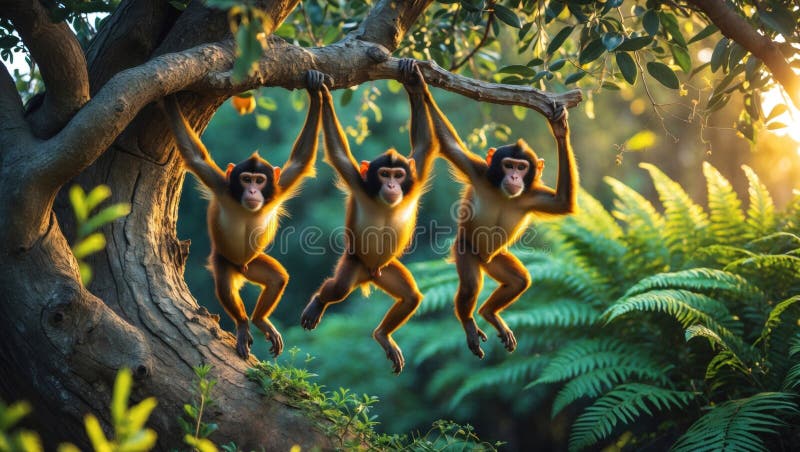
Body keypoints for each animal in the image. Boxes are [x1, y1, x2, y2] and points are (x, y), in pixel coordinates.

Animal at [162, 70, 326, 359]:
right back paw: (242, 324)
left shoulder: (277, 188)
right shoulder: (221, 186)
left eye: (260, 180)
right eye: (246, 179)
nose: (252, 190)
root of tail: (241, 269)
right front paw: (169, 98)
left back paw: (260, 320)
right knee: (225, 286)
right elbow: (195, 156)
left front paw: (315, 92)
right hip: (225, 261)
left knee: (277, 278)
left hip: (253, 262)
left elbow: (301, 160)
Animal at [299, 61, 437, 374]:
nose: (392, 186)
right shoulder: (357, 182)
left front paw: (415, 83)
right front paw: (320, 93)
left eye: (397, 174)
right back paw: (318, 303)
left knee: (411, 296)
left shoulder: (414, 178)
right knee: (338, 287)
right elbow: (338, 153)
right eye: (384, 174)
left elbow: (425, 145)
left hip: (386, 269)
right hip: (354, 263)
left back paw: (383, 335)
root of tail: (369, 276)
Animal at [414, 62, 578, 359]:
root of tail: (484, 260)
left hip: (497, 259)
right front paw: (420, 84)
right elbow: (449, 145)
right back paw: (469, 320)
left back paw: (490, 312)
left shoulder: (530, 195)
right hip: (466, 250)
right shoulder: (479, 173)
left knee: (519, 281)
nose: (513, 177)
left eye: (522, 167)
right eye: (508, 165)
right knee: (470, 285)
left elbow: (563, 201)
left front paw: (560, 128)